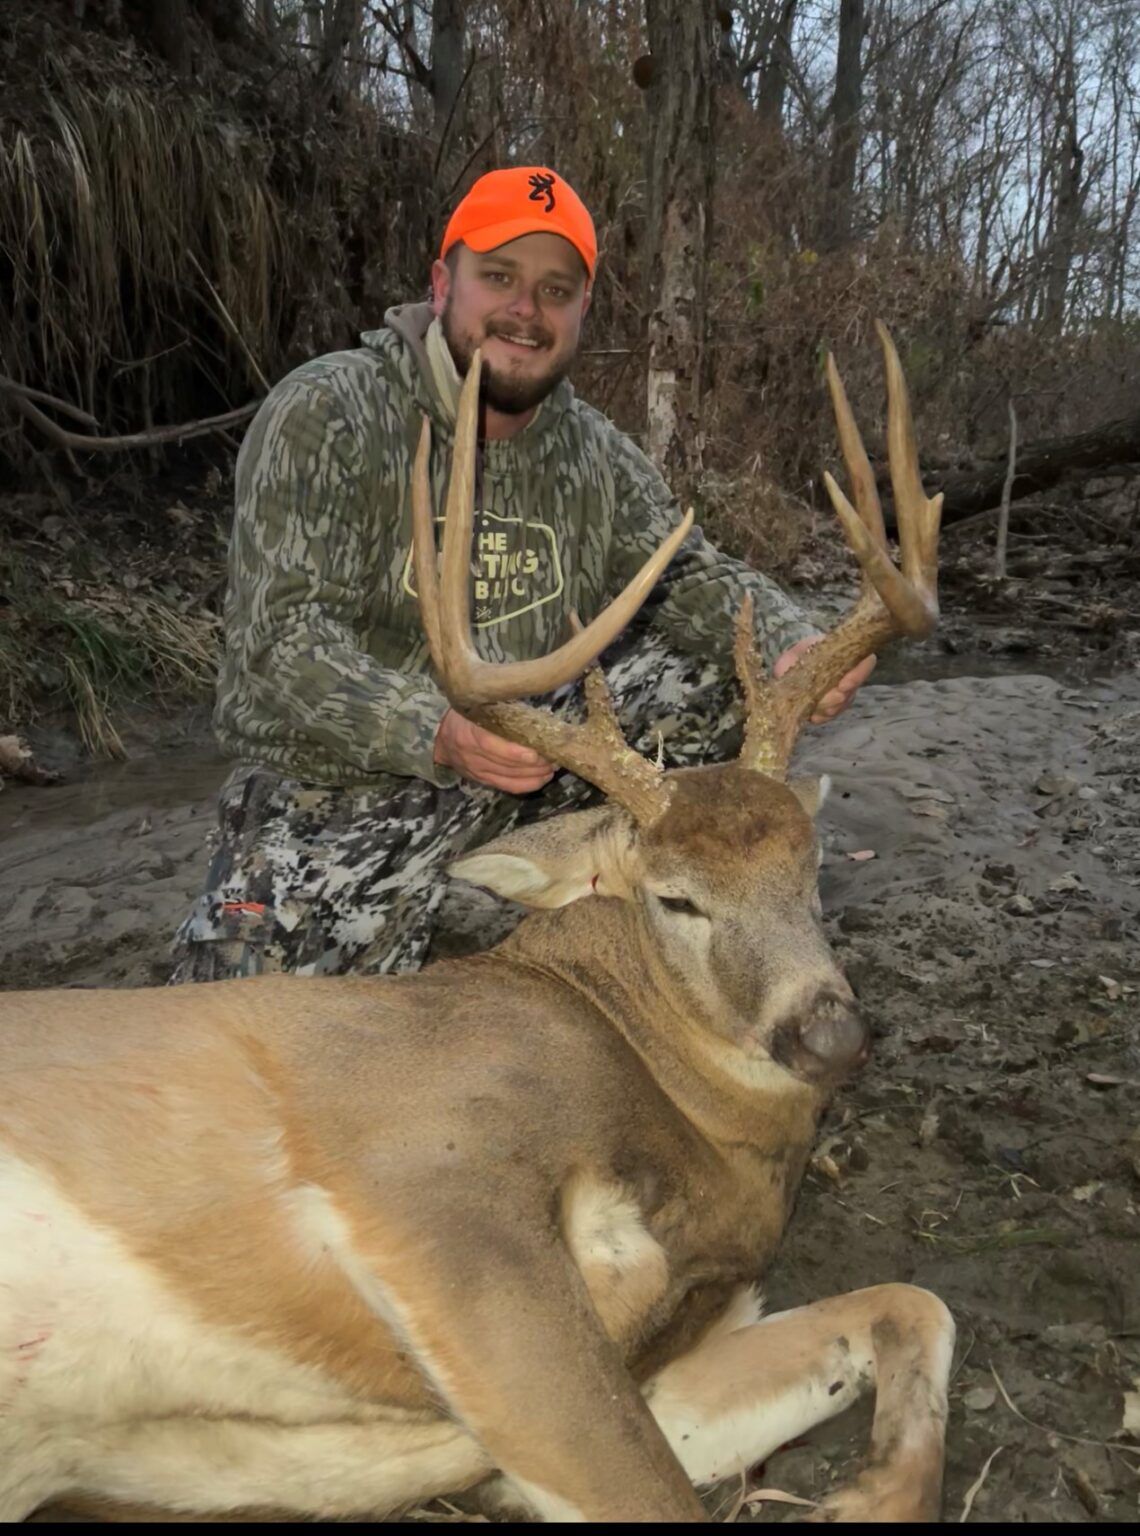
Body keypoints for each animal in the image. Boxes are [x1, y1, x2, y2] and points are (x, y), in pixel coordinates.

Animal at [0, 322, 951, 1525]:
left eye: (811, 864)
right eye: (674, 896)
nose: (830, 1034)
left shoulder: (661, 1359)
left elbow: (916, 1301)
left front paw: (861, 1497)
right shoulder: (430, 1181)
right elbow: (654, 1488)